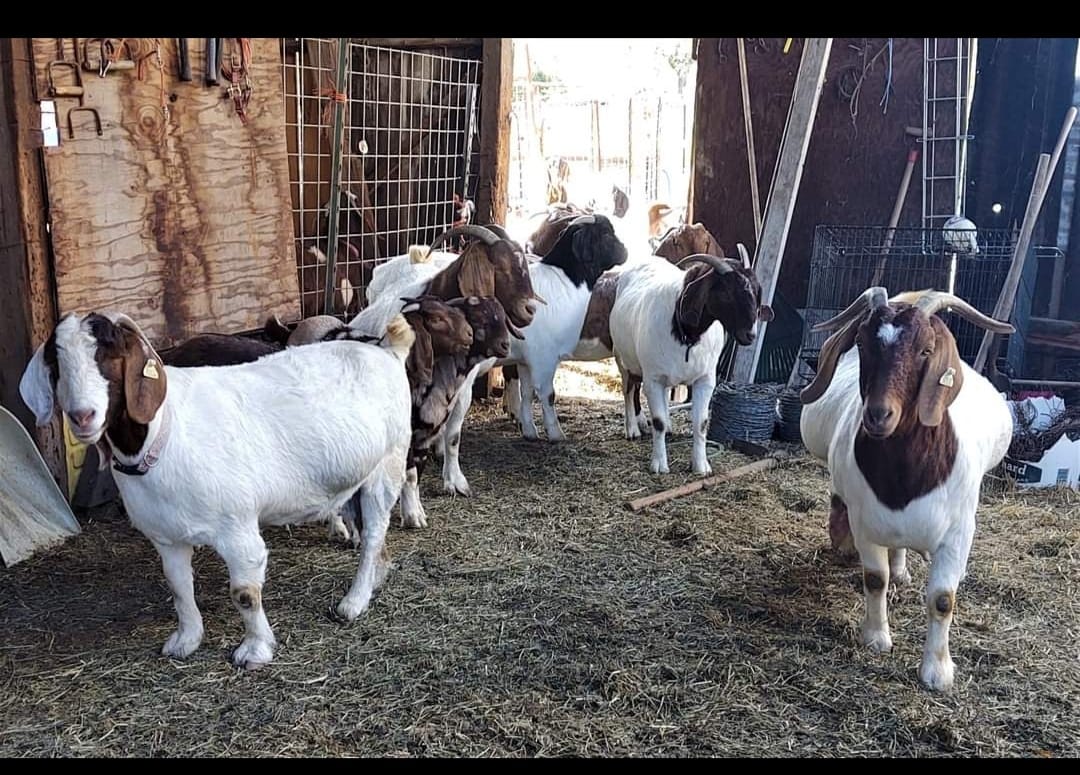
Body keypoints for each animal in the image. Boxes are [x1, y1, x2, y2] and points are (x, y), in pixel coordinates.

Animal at [20, 311, 415, 669]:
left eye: (111, 355)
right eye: (55, 364)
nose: (82, 416)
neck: (165, 431)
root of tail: (388, 351)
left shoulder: (238, 530)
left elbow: (244, 594)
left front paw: (255, 650)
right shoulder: (166, 537)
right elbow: (179, 588)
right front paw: (186, 640)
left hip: (389, 462)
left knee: (374, 532)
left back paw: (353, 602)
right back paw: (375, 578)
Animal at [608, 253, 772, 474]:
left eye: (756, 293)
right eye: (726, 293)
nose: (751, 334)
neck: (687, 336)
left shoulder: (705, 379)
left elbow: (701, 424)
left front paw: (701, 465)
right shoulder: (653, 378)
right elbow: (657, 422)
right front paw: (659, 464)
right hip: (622, 358)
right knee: (628, 390)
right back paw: (632, 428)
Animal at [799, 287, 1014, 691]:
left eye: (926, 350)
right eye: (862, 343)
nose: (878, 415)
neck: (905, 477)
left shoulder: (958, 532)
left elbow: (943, 599)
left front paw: (938, 672)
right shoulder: (864, 521)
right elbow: (875, 579)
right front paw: (876, 637)